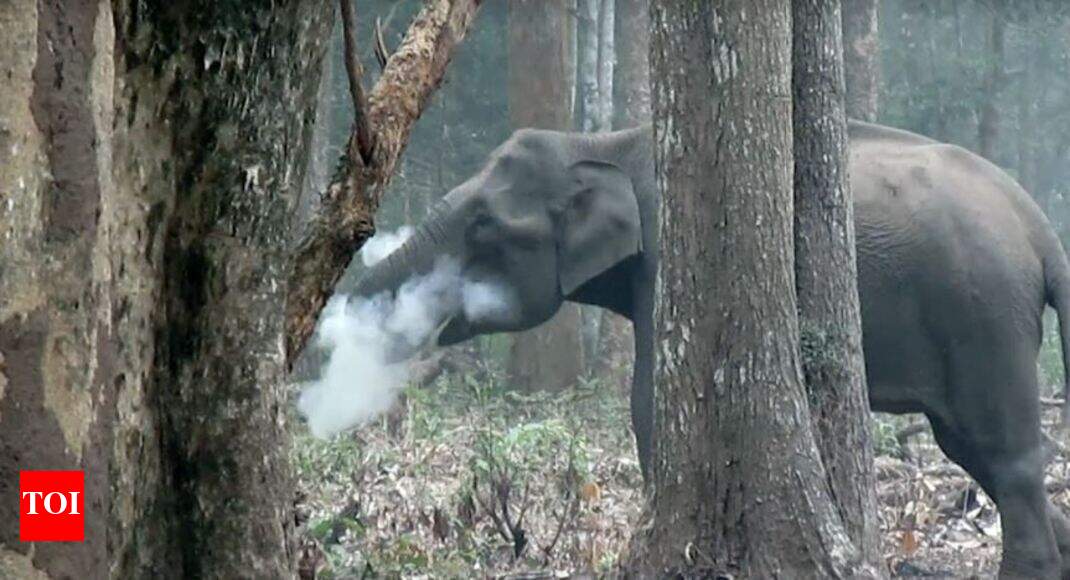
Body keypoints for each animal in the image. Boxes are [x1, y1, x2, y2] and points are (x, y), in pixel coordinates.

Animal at [354, 121, 1070, 579]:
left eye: (483, 227)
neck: (603, 143)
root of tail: (1041, 229)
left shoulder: (670, 257)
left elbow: (649, 400)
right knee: (972, 449)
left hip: (984, 317)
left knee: (1003, 454)